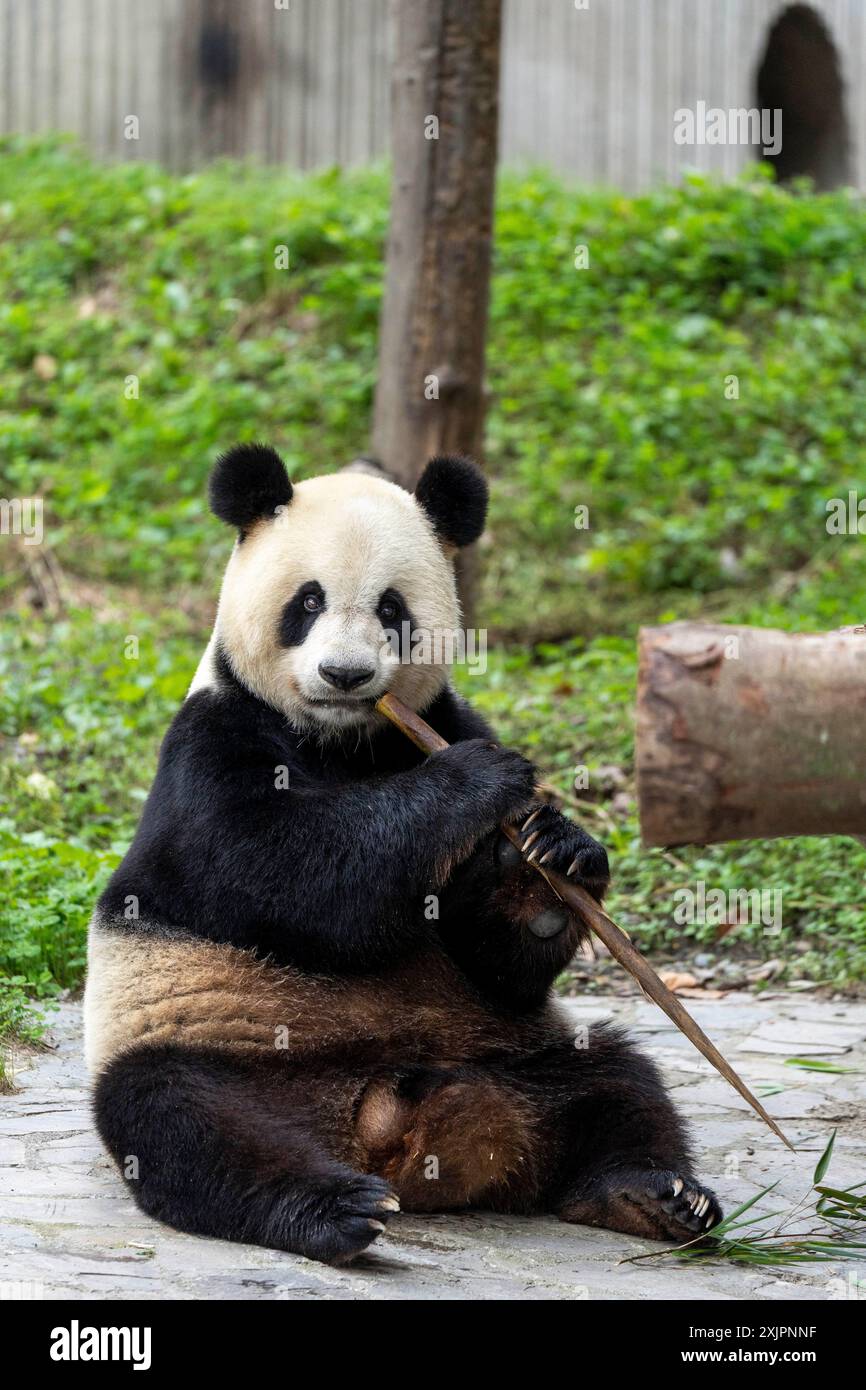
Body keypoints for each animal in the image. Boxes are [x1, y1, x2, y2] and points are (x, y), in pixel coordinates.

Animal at [84, 445, 722, 1265]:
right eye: (308, 602)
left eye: (392, 609)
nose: (346, 675)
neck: (346, 738)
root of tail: (384, 1133)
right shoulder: (212, 744)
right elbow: (287, 873)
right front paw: (477, 780)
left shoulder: (442, 716)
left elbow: (496, 960)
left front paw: (555, 856)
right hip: (207, 1043)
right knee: (190, 1123)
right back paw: (334, 1210)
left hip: (509, 1053)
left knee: (617, 1081)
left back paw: (654, 1195)